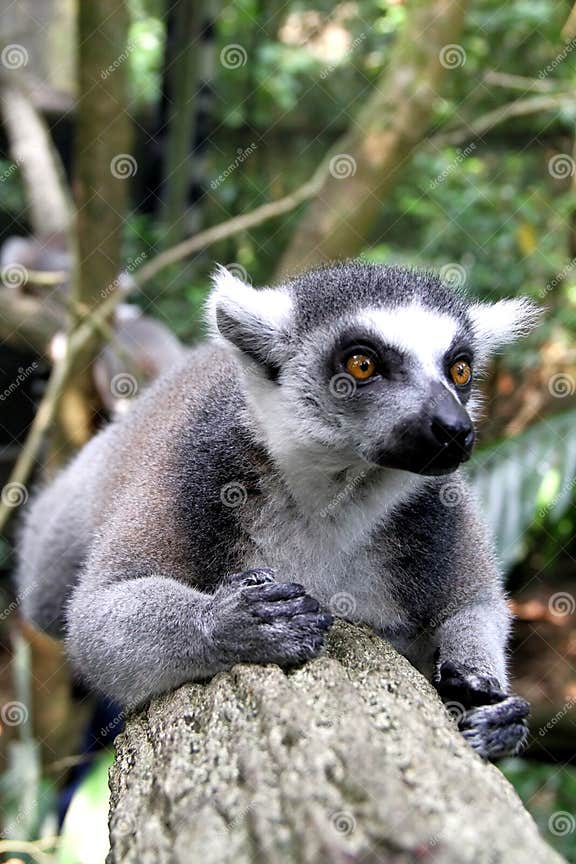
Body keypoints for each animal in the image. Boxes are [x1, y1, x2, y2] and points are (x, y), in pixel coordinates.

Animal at [15, 261, 539, 759]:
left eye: (460, 370)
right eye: (361, 364)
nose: (454, 429)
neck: (332, 495)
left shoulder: (437, 503)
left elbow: (475, 604)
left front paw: (483, 700)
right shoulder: (195, 468)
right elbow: (95, 617)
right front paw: (232, 625)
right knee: (49, 599)